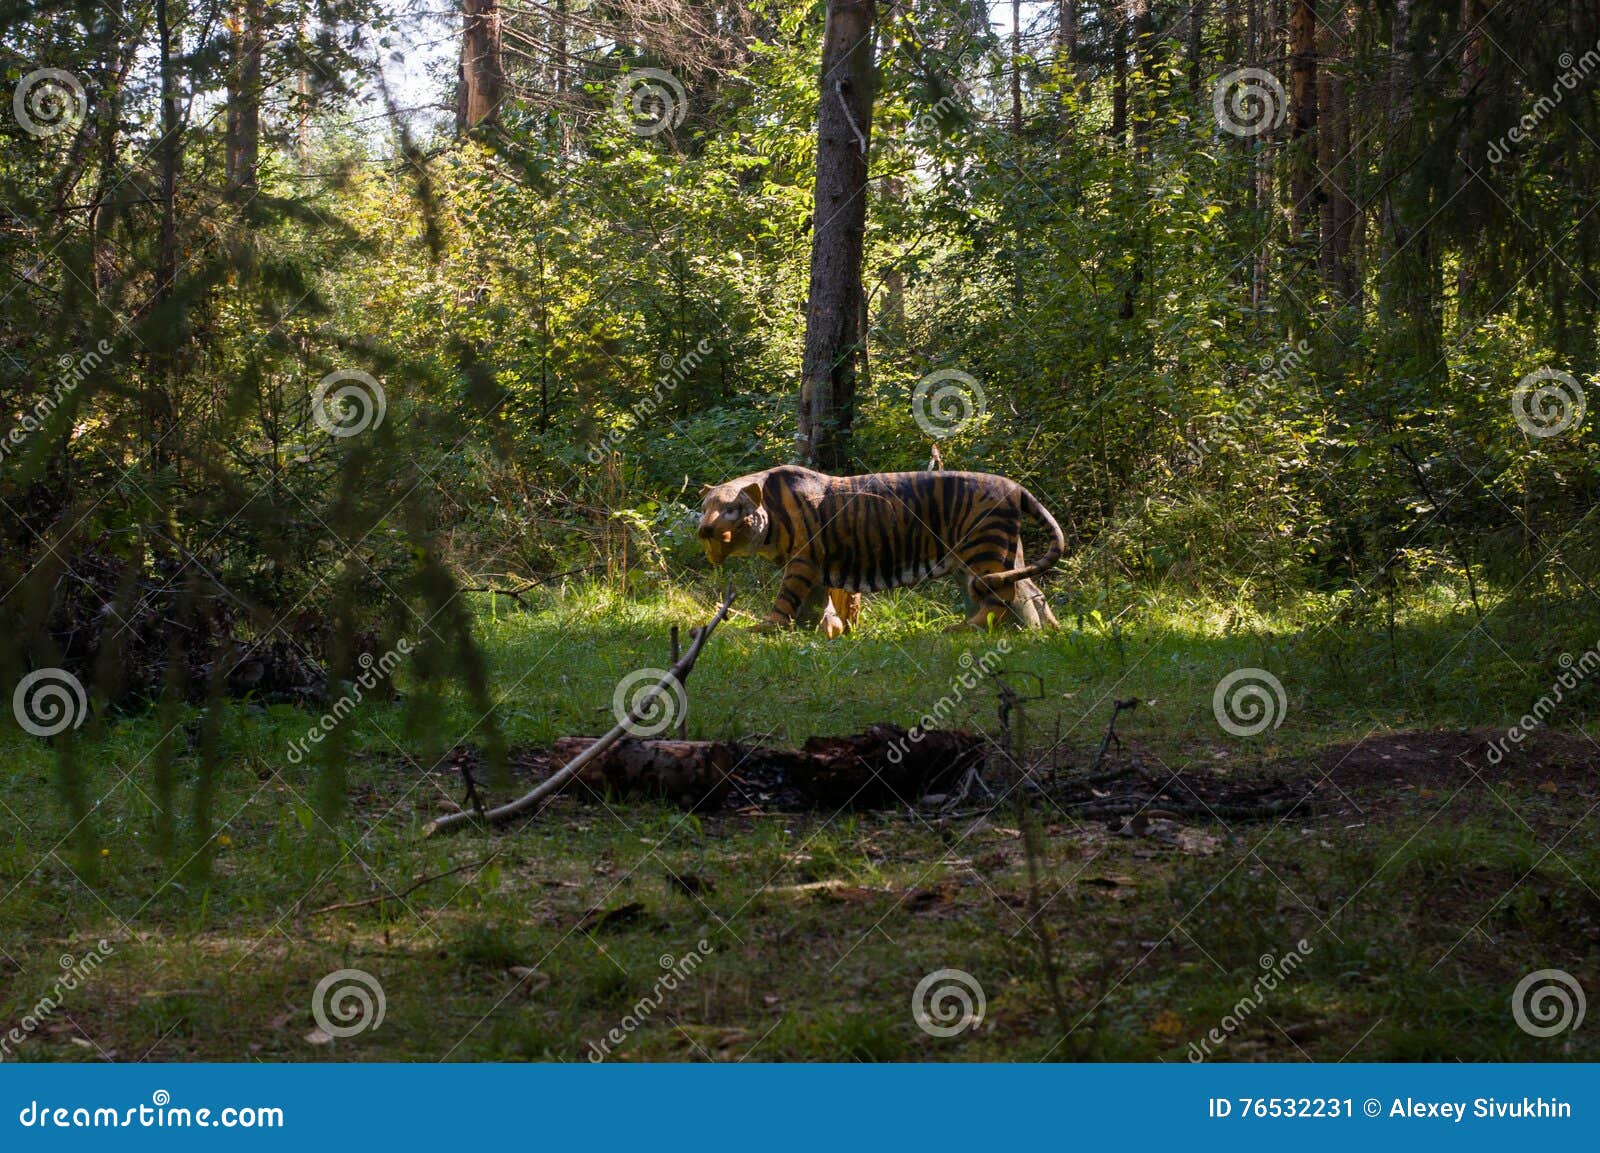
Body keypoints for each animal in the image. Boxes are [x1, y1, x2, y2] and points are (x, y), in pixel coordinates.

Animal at [697, 465, 1065, 631]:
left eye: (730, 509)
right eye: (705, 506)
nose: (704, 528)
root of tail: (1015, 486)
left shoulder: (802, 562)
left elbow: (786, 597)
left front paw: (765, 627)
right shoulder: (814, 567)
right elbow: (817, 601)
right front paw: (816, 628)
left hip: (984, 552)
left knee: (1001, 598)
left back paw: (965, 628)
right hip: (1001, 554)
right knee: (1030, 592)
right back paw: (1048, 632)